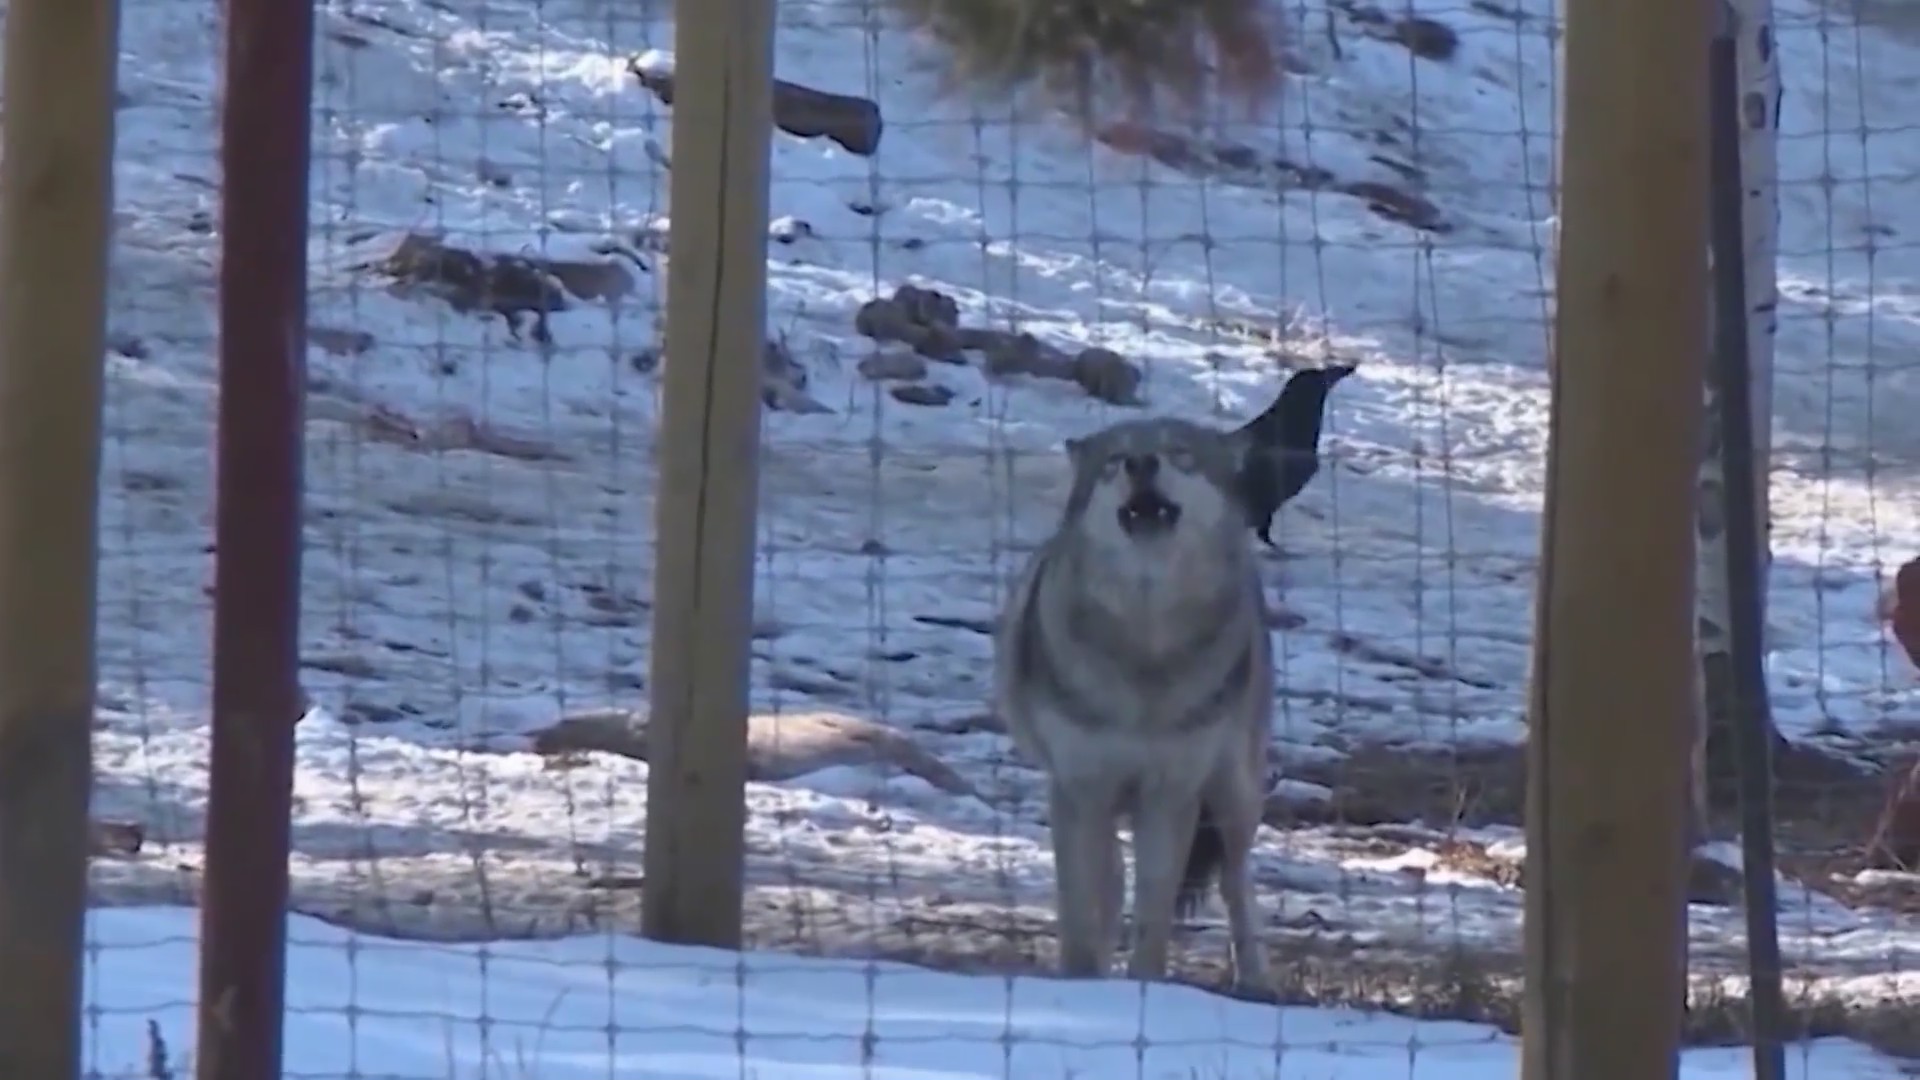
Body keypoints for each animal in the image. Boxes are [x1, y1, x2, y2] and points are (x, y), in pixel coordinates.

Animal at [994, 411, 1280, 991]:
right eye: (1115, 460)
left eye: (1179, 454)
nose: (1140, 463)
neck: (1145, 651)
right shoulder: (1079, 787)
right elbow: (1080, 906)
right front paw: (1084, 983)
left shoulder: (1170, 794)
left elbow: (1154, 912)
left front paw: (1145, 987)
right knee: (1110, 878)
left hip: (1234, 796)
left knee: (1236, 879)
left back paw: (1256, 982)